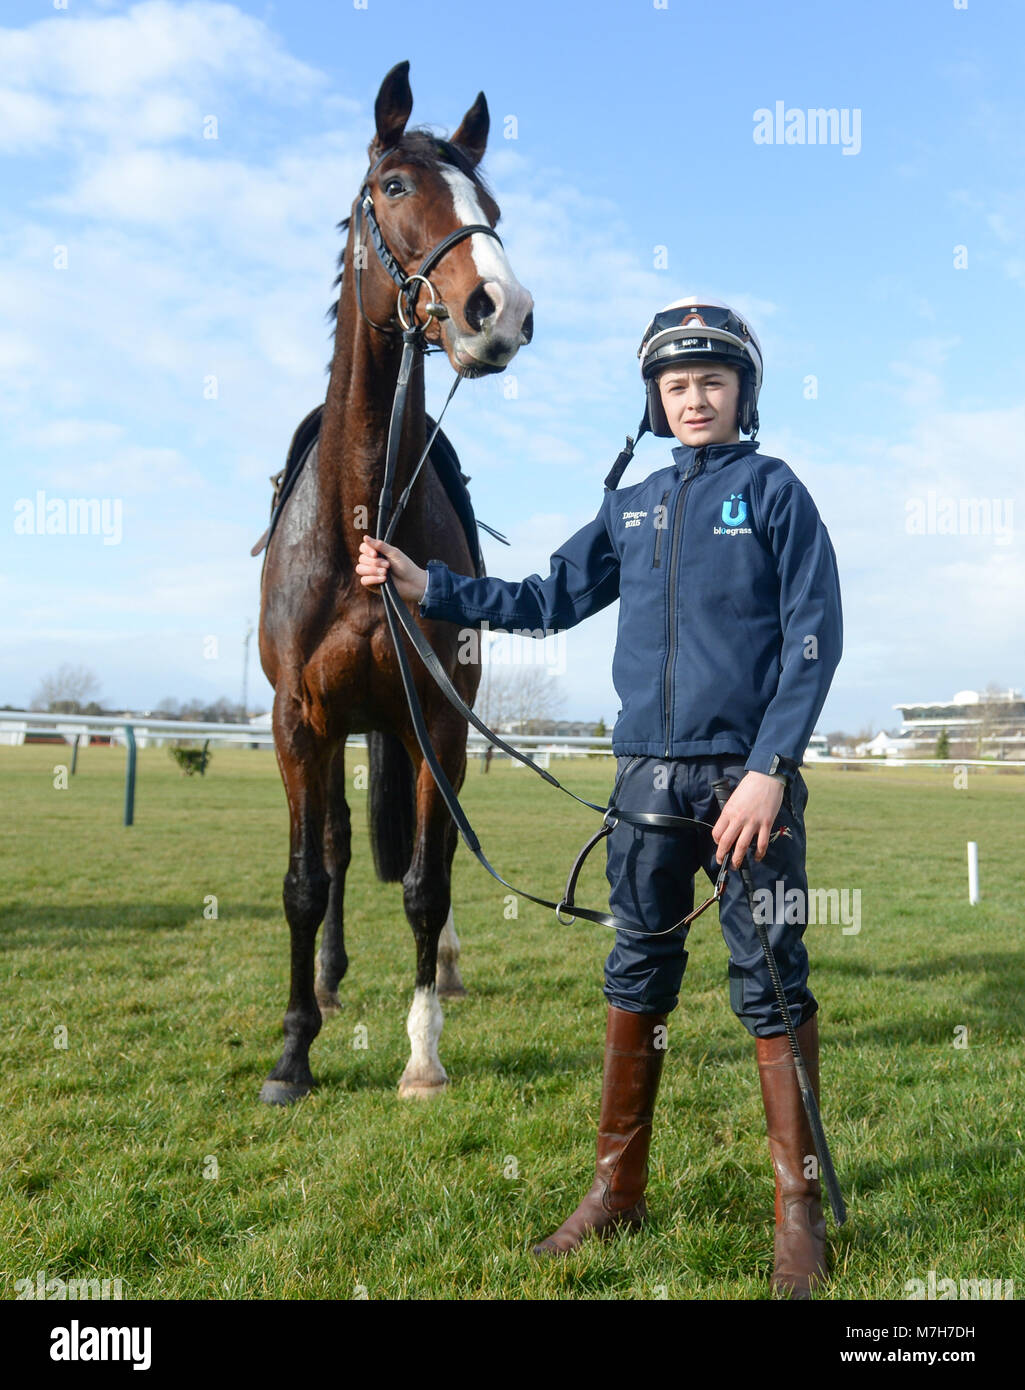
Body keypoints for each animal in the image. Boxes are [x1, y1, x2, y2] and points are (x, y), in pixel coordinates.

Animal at [256, 61, 534, 1104]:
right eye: (395, 186)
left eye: (492, 207)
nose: (499, 308)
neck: (361, 522)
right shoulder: (299, 720)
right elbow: (305, 879)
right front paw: (292, 1051)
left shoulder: (439, 718)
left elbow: (427, 878)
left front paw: (421, 1055)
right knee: (336, 847)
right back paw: (330, 983)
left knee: (435, 846)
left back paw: (441, 970)